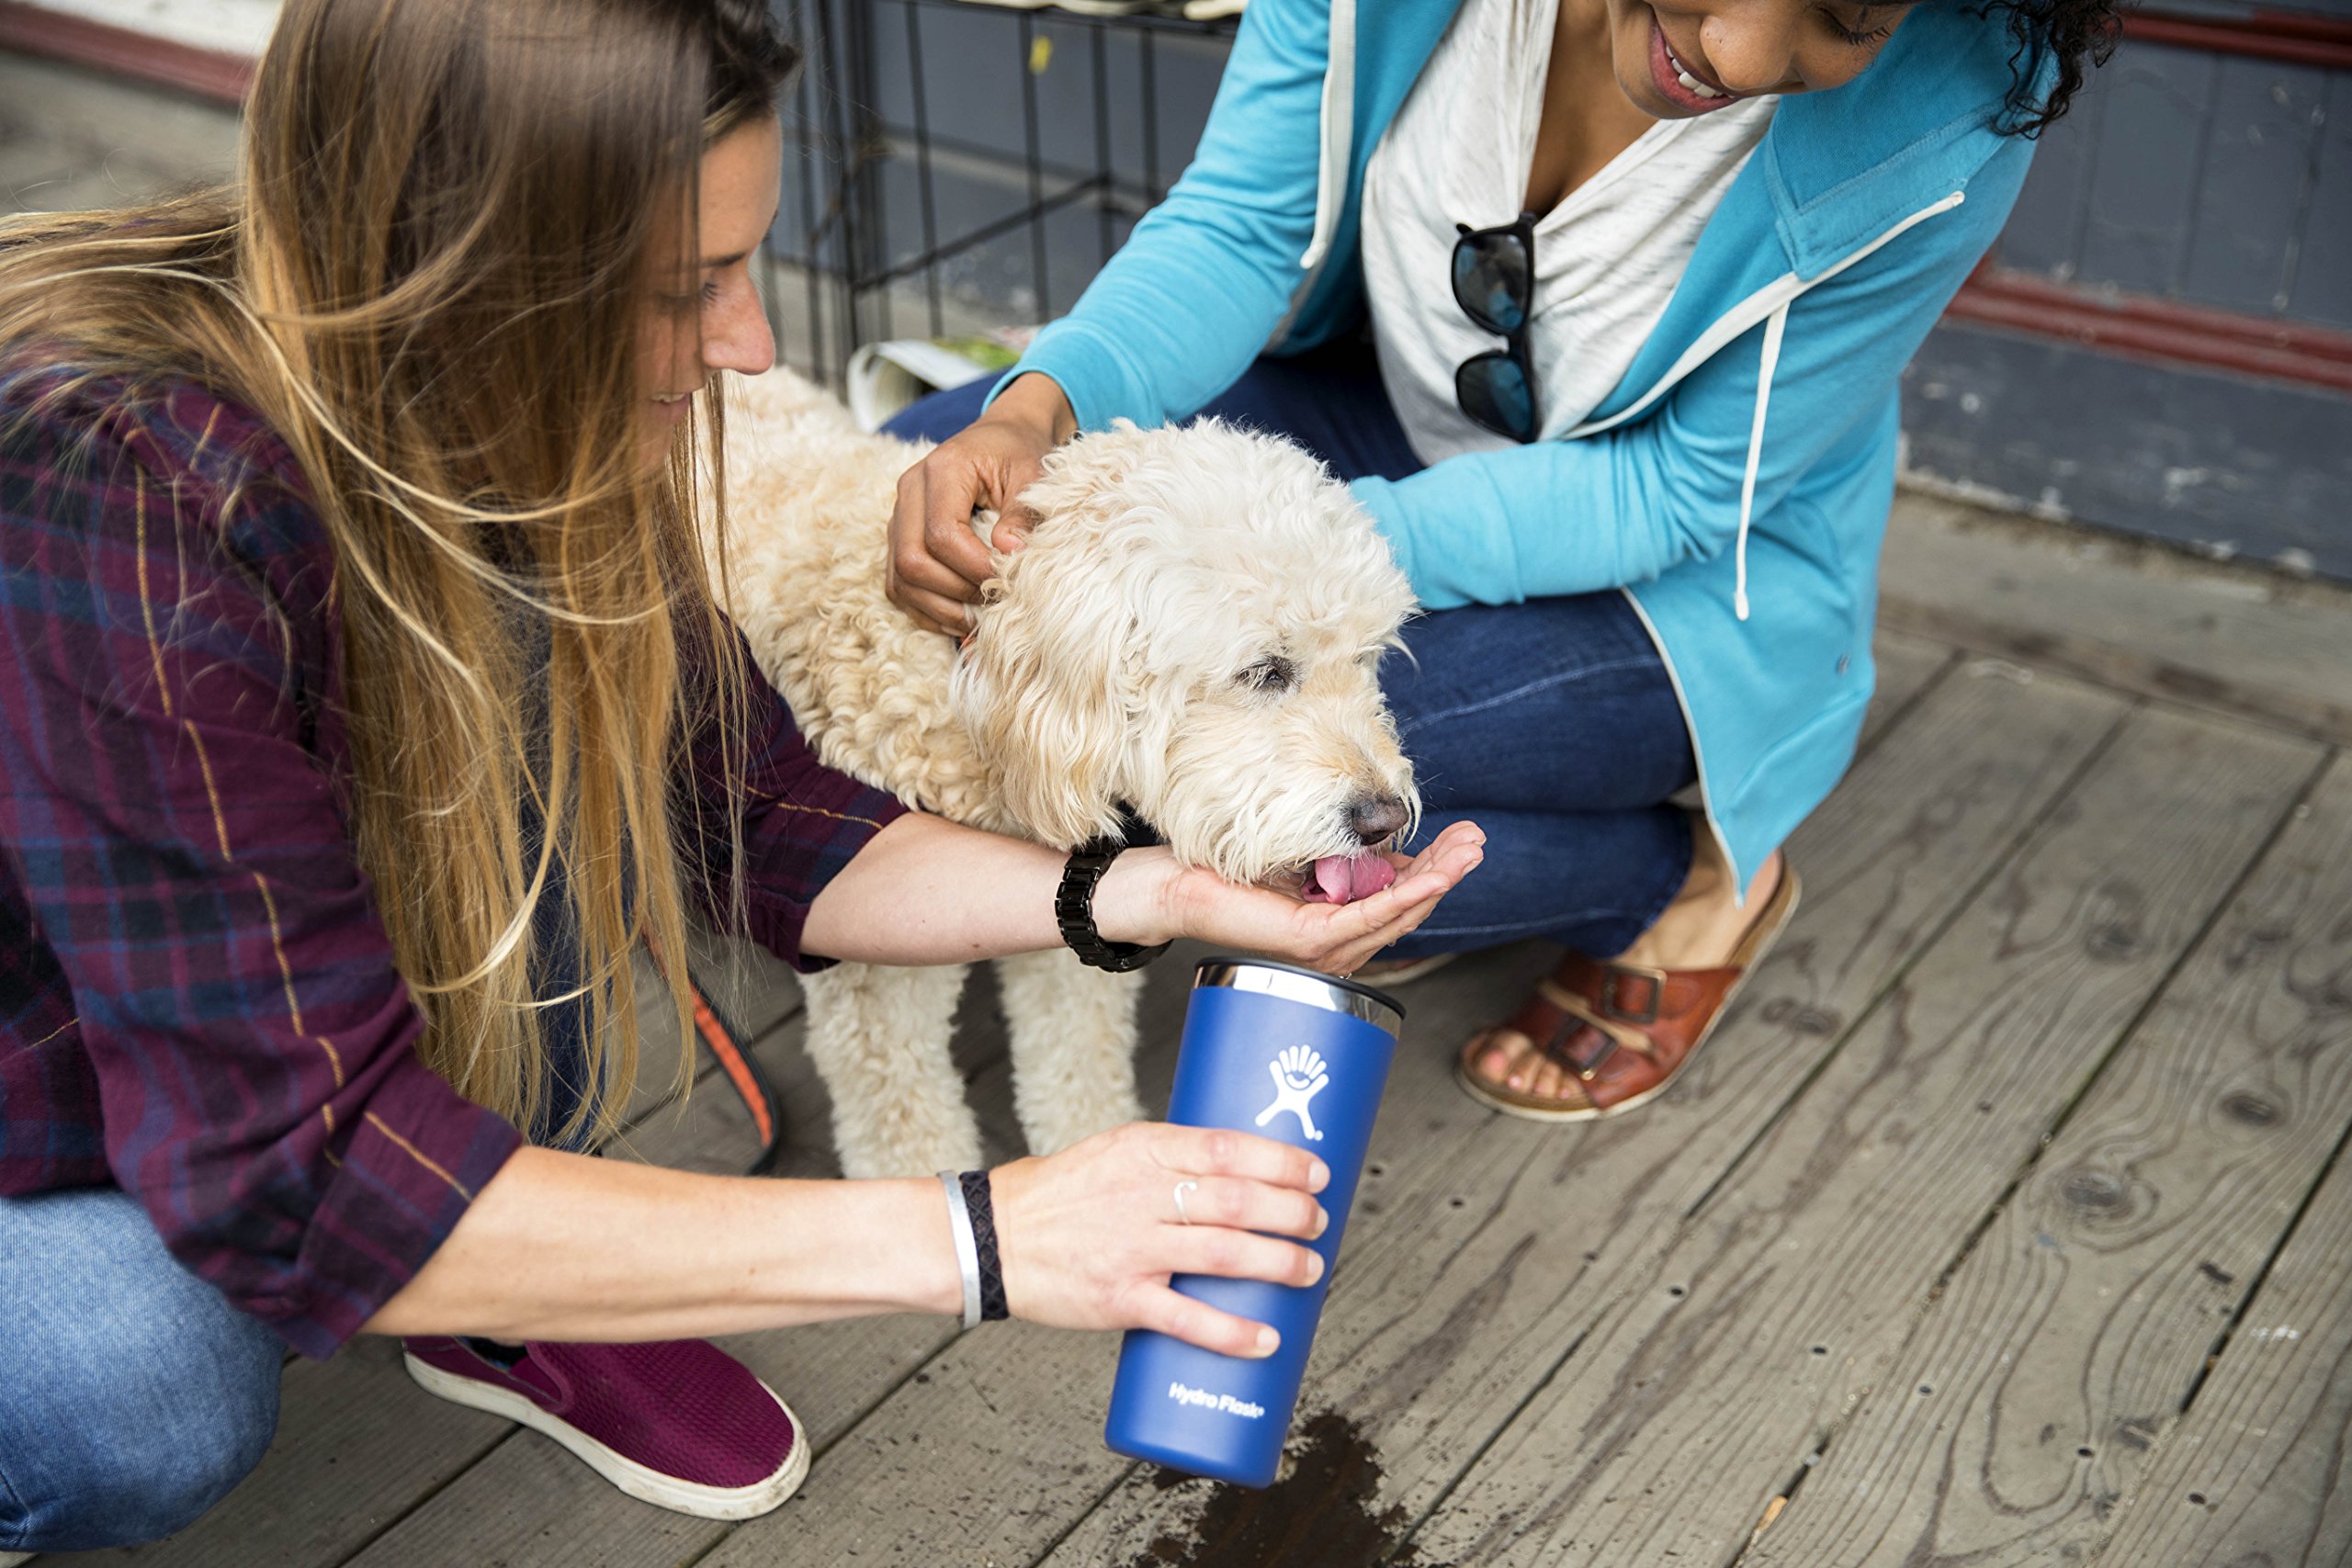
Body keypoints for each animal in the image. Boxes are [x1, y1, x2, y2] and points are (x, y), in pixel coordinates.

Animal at [715, 368, 1411, 1175]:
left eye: (1367, 658)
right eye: (1265, 670)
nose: (1385, 818)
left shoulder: (1065, 934)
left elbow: (1075, 1070)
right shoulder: (875, 980)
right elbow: (907, 1143)